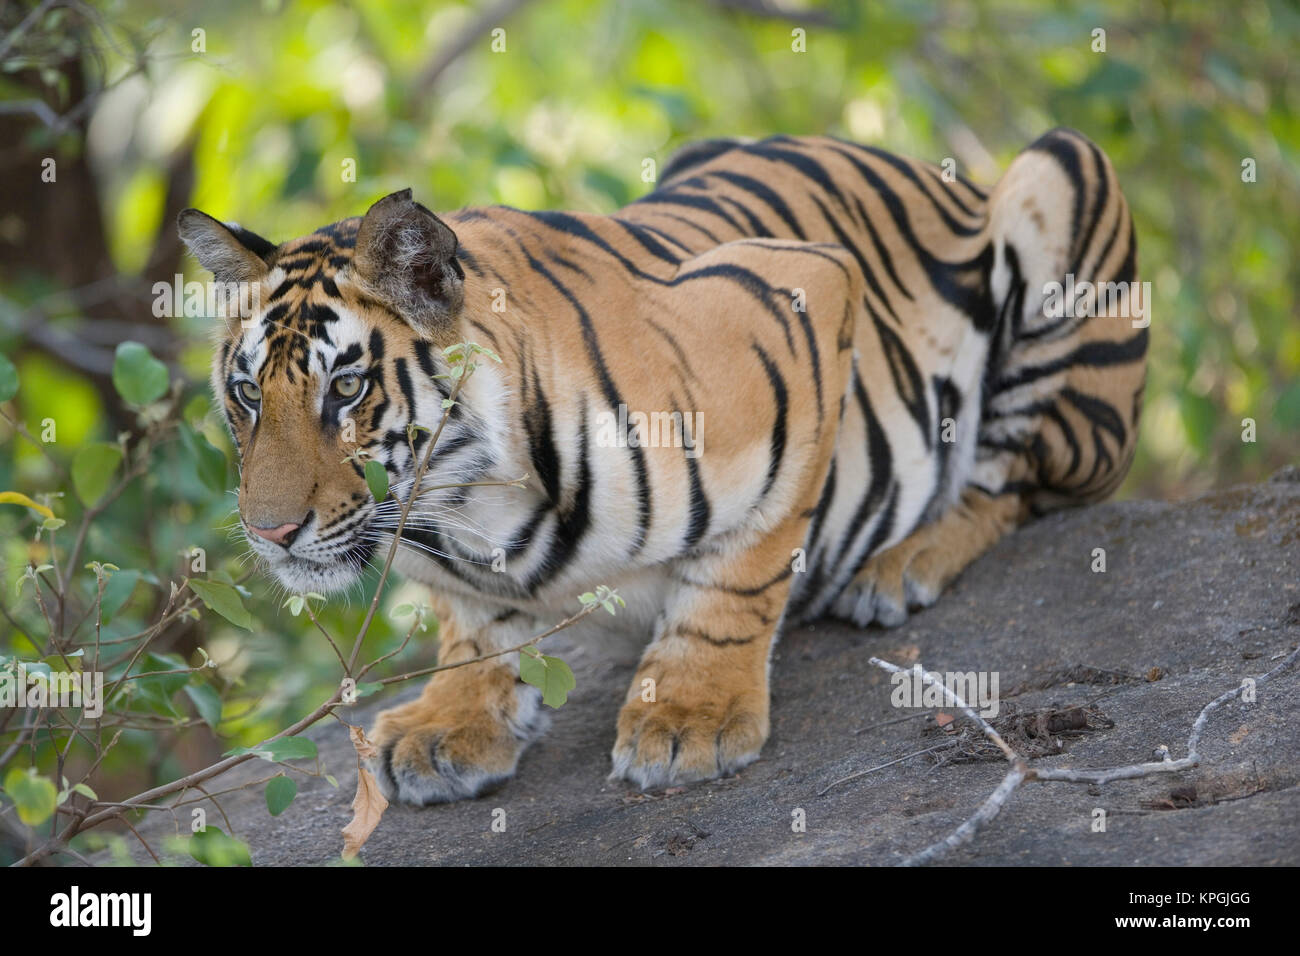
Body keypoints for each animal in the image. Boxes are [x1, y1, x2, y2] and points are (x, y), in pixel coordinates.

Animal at [179, 128, 1146, 804]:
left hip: (1065, 176)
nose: (270, 532)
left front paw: (691, 719)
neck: (471, 504)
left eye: (345, 387)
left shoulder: (801, 304)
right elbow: (473, 623)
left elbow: (739, 576)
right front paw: (453, 722)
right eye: (247, 393)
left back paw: (898, 567)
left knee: (1015, 482)